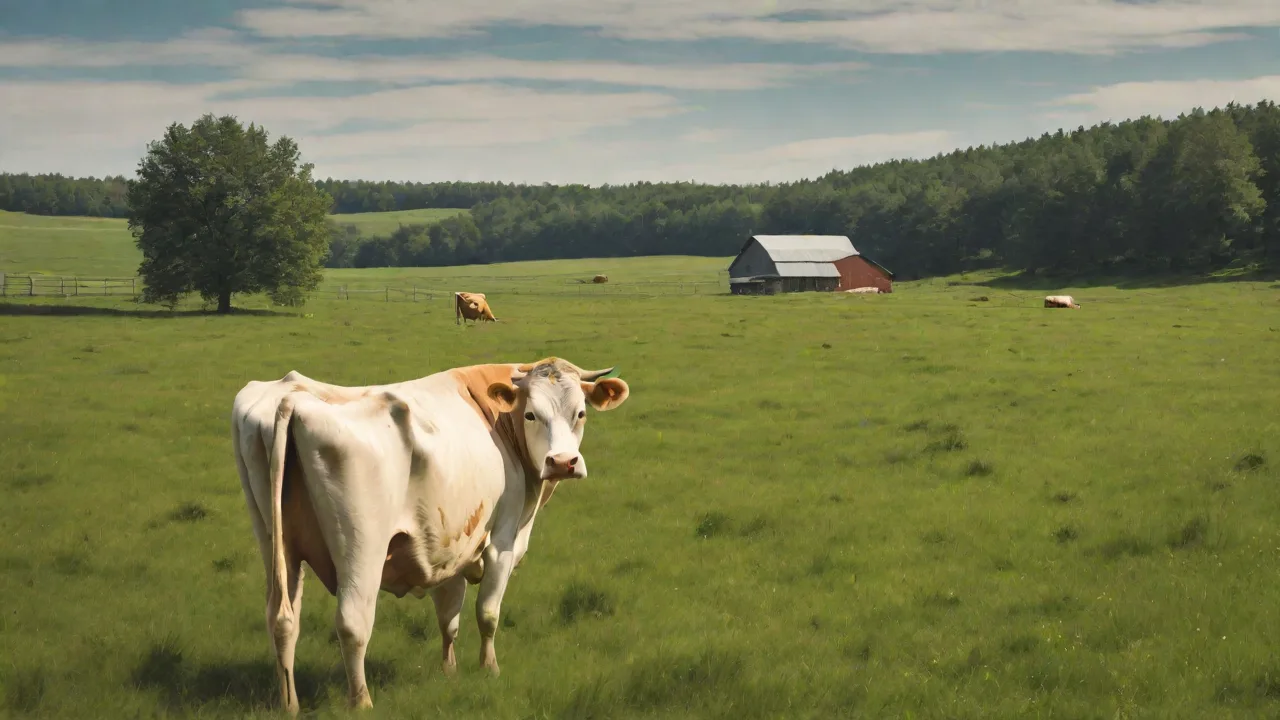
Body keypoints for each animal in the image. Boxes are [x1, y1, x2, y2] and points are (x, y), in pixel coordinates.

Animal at [230, 357, 631, 714]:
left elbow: (448, 616)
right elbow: (487, 613)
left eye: (580, 413)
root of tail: (291, 400)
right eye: (531, 414)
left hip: (277, 547)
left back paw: (290, 704)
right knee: (352, 622)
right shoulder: (502, 540)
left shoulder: (451, 546)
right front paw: (489, 669)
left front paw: (449, 671)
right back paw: (361, 701)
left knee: (282, 619)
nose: (562, 462)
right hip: (361, 550)